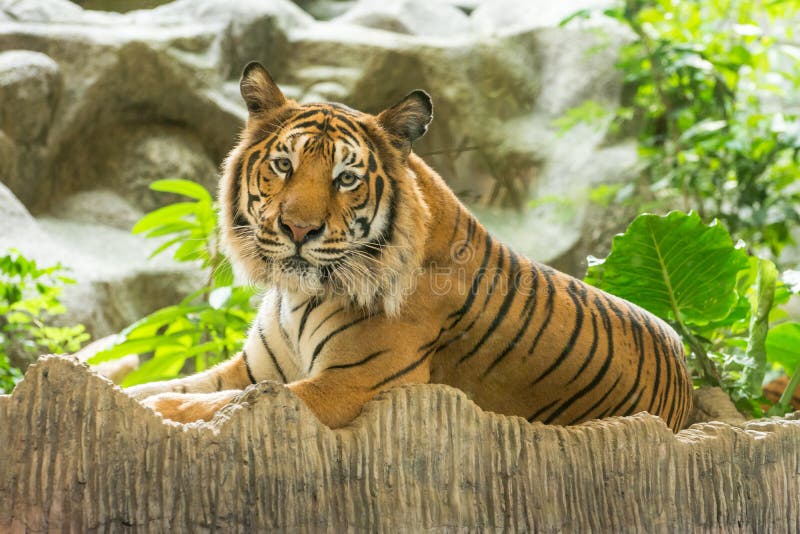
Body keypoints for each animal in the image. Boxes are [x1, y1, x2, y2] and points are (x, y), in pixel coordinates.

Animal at [127, 61, 694, 432]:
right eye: (283, 165)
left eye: (346, 178)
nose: (298, 229)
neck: (297, 296)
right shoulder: (253, 368)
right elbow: (163, 388)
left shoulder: (352, 384)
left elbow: (221, 402)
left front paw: (166, 412)